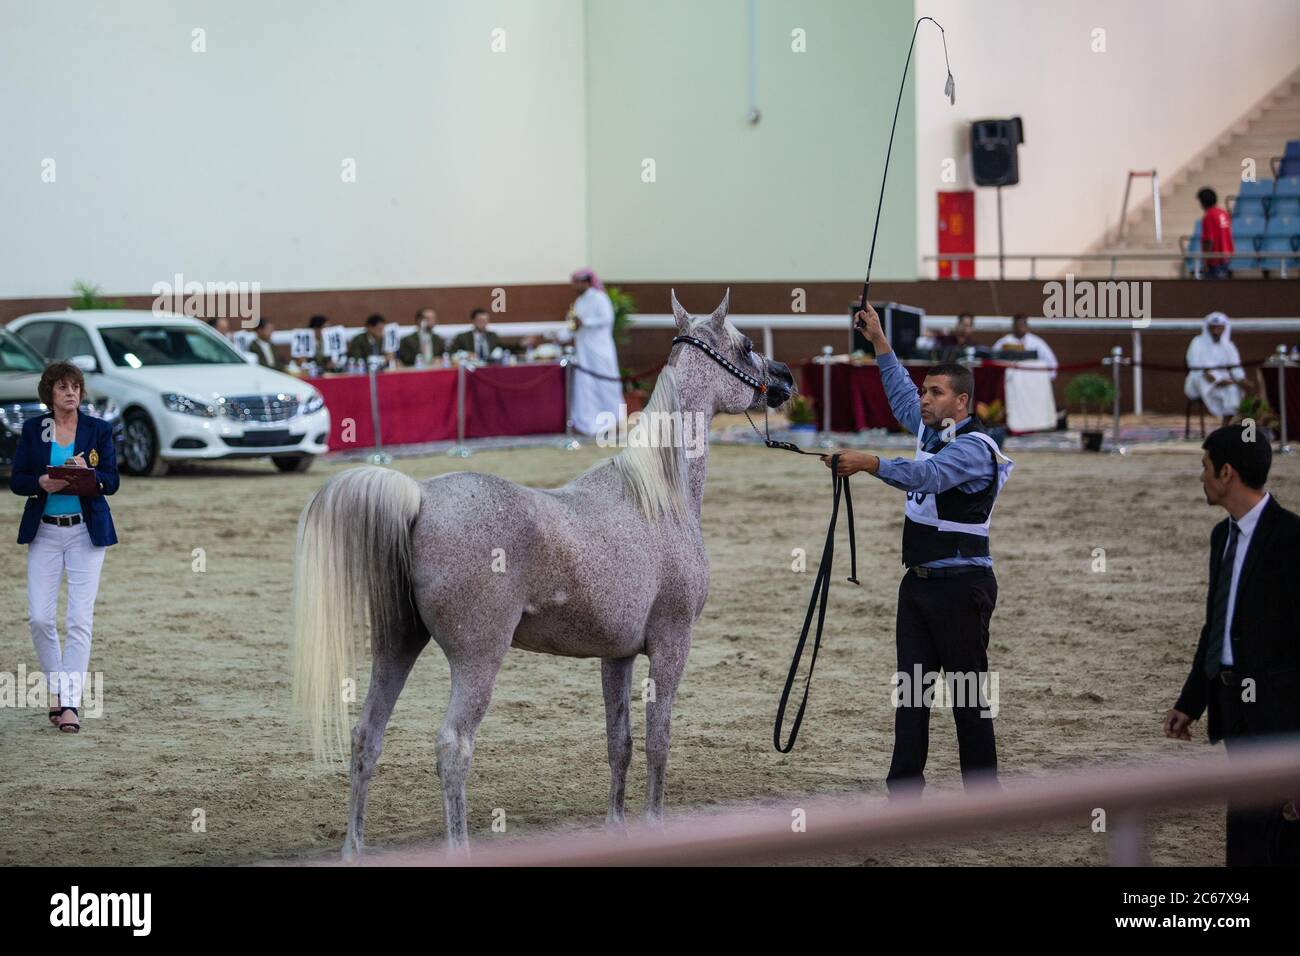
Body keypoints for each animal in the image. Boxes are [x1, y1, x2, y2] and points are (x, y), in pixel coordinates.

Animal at [291, 290, 795, 858]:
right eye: (746, 344)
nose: (785, 378)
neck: (658, 497)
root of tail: (419, 498)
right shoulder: (672, 643)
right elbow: (658, 741)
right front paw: (653, 826)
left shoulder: (617, 655)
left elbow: (619, 742)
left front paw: (617, 829)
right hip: (478, 658)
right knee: (453, 747)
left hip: (397, 644)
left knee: (367, 736)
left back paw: (353, 848)